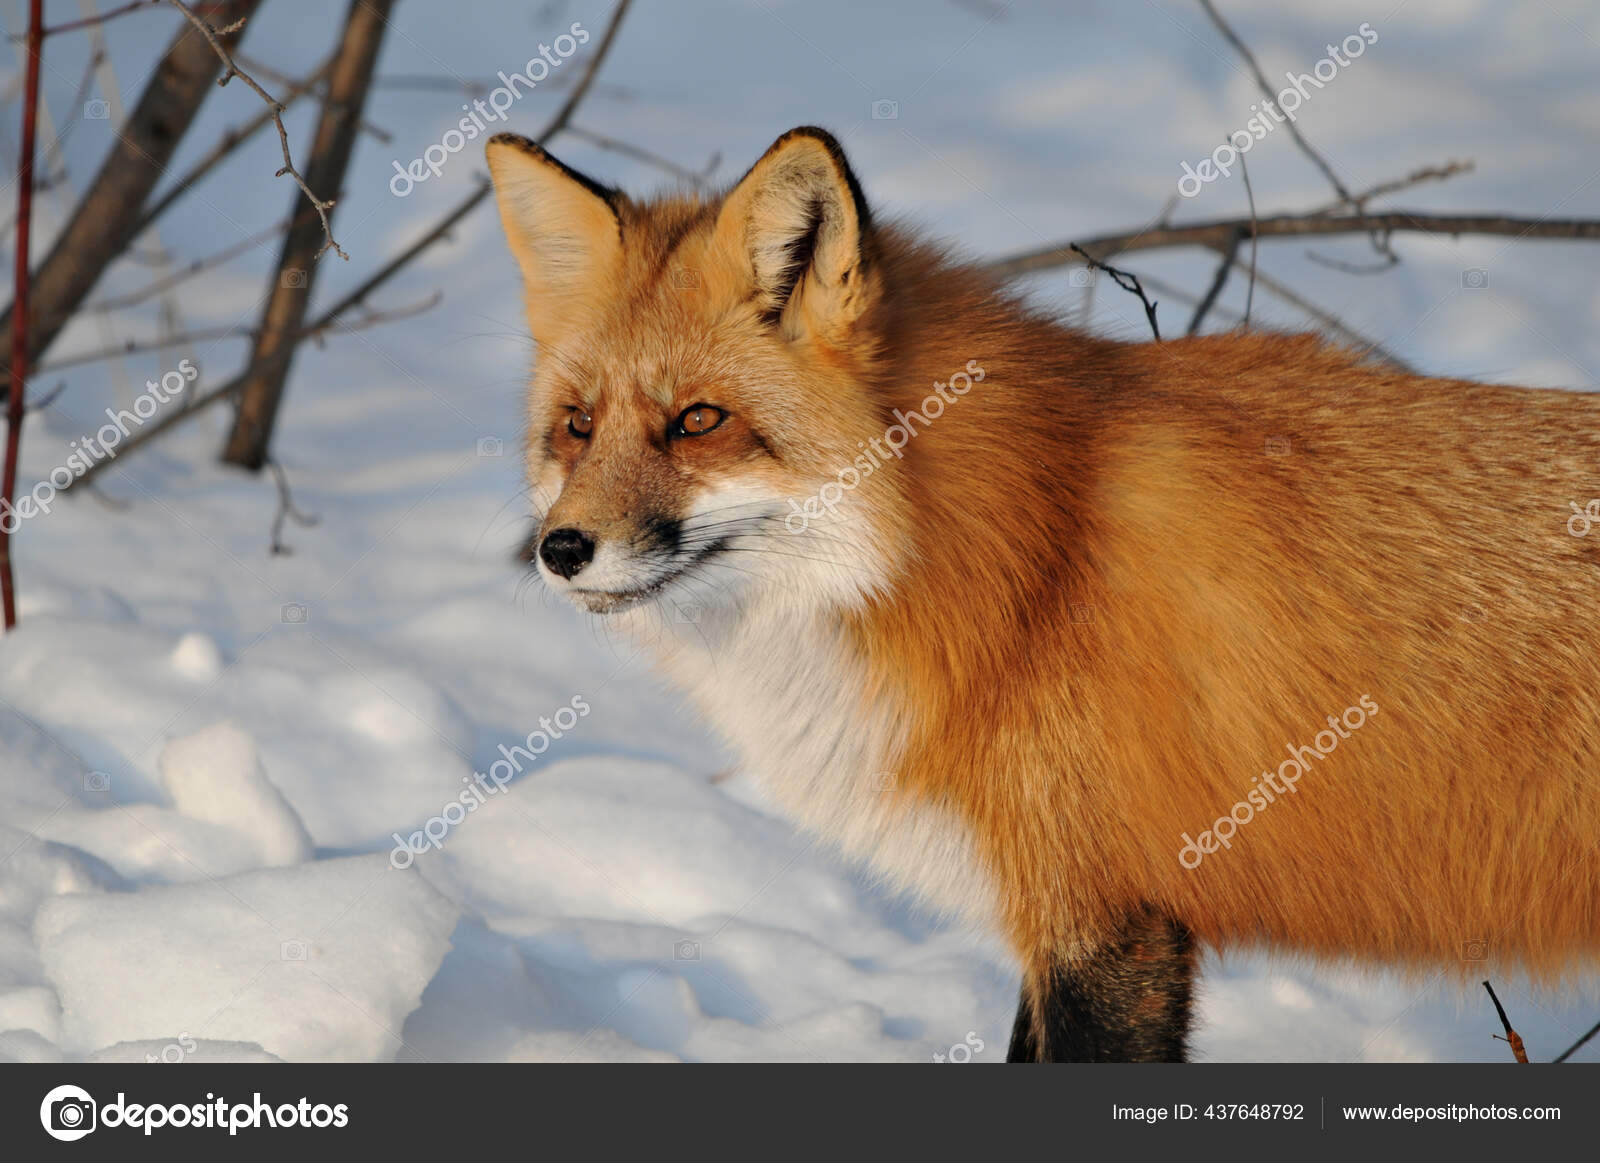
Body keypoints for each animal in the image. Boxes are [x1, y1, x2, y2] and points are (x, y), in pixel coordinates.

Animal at [485, 125, 1600, 1062]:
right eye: (579, 425)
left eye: (698, 421)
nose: (560, 549)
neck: (1030, 551)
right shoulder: (1061, 922)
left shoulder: (1106, 922)